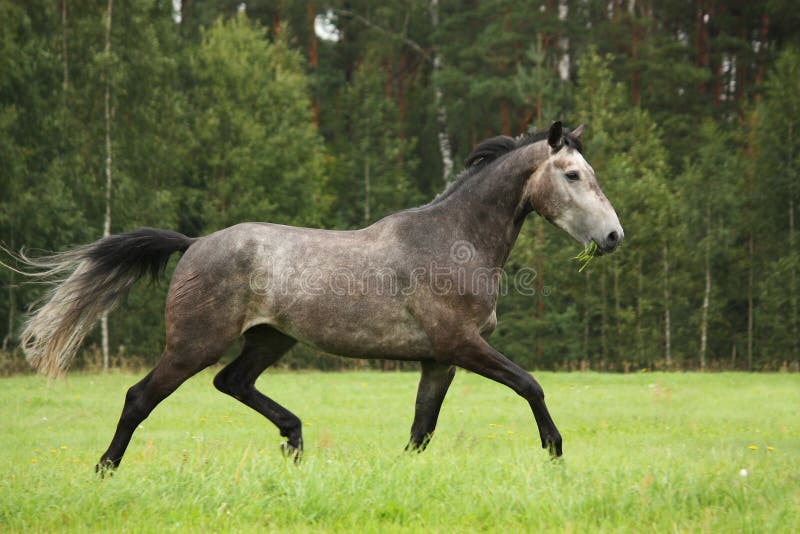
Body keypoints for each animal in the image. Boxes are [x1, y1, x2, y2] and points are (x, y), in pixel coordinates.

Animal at [11, 121, 623, 472]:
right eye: (571, 174)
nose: (614, 237)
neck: (454, 238)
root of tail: (194, 244)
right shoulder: (461, 344)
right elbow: (529, 384)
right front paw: (555, 451)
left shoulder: (438, 359)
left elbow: (422, 427)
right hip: (192, 344)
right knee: (141, 397)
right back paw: (105, 469)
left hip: (269, 340)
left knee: (232, 382)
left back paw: (294, 441)